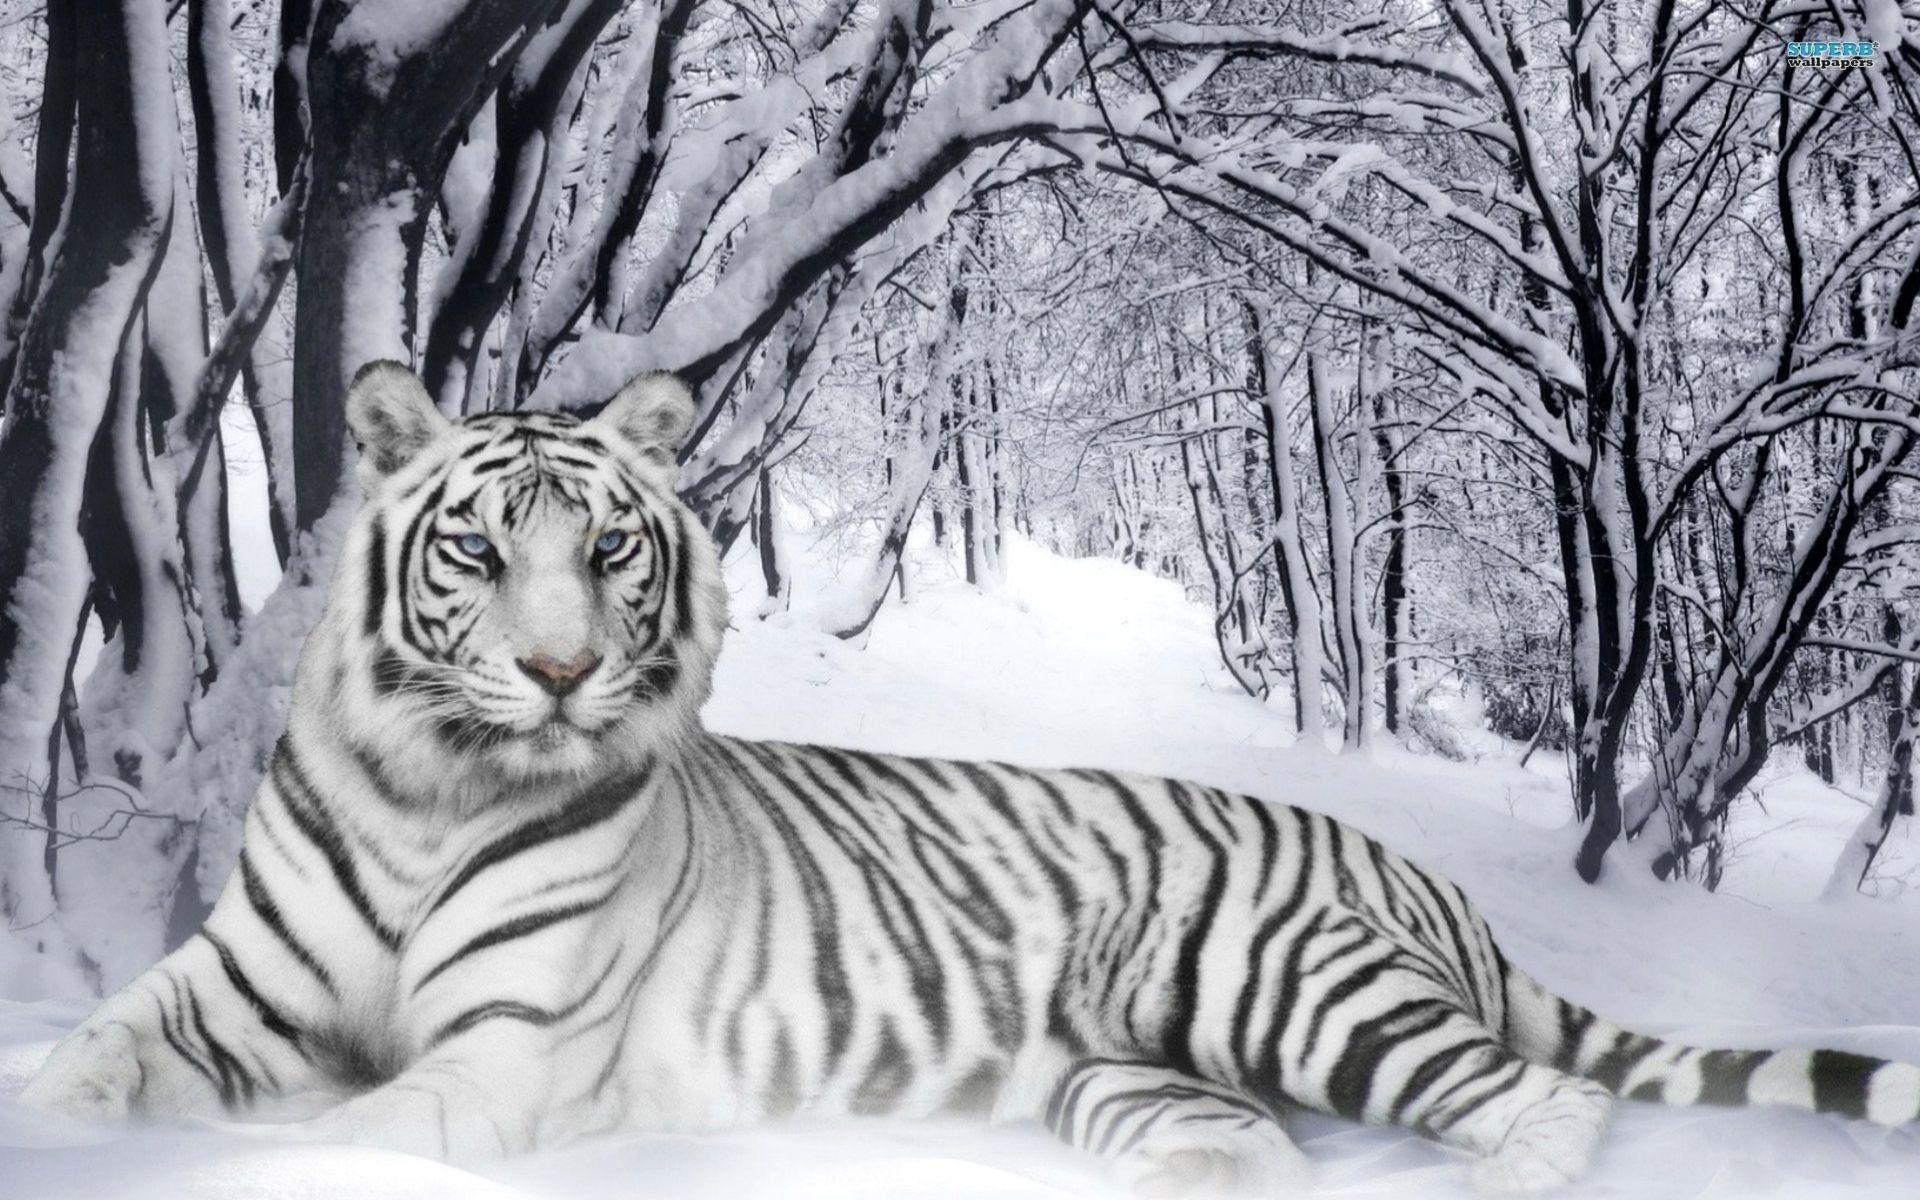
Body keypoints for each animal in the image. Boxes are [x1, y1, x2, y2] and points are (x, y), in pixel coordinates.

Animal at [20, 360, 1920, 1196]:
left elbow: (340, 1131)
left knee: (1547, 1108)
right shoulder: (226, 990)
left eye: (612, 551)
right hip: (1132, 1080)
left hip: (1291, 987)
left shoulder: (498, 1056)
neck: (433, 792)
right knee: (1256, 1150)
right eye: (479, 551)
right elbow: (92, 1058)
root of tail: (1419, 872)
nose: (557, 674)